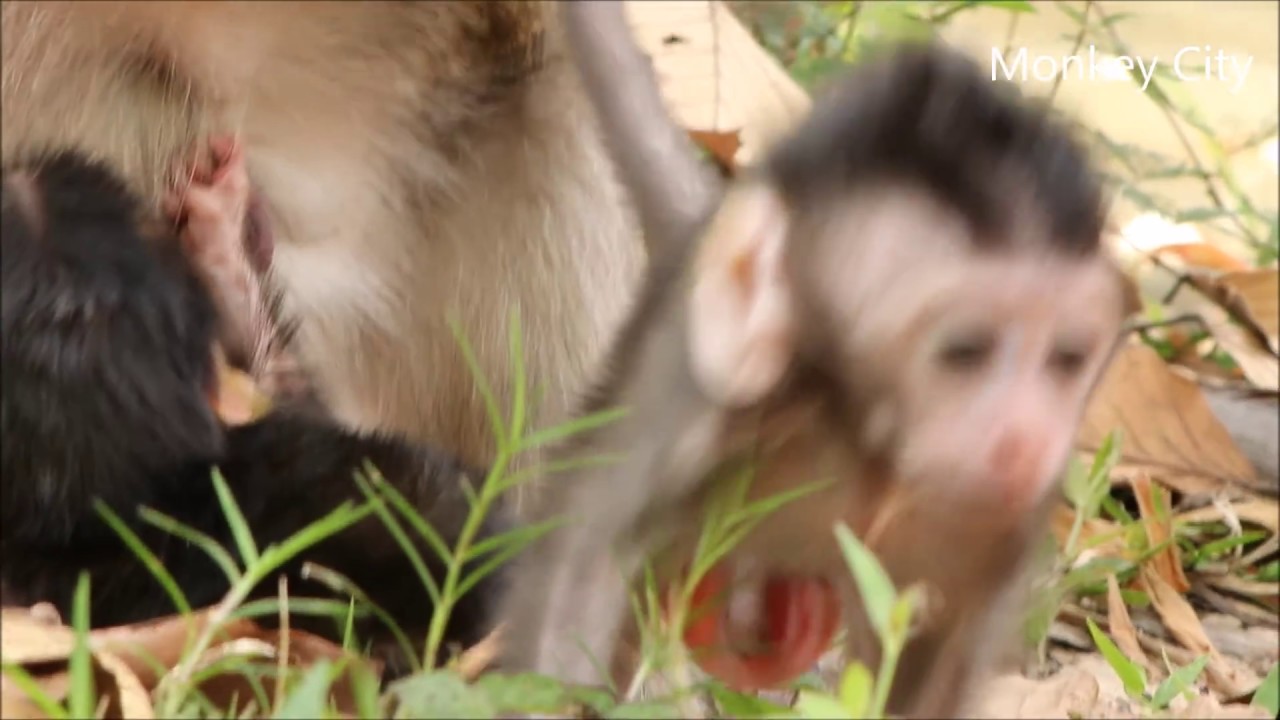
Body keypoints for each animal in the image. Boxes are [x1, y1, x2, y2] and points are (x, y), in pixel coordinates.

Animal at [499, 18, 1140, 717]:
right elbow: (588, 556)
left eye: (1067, 359)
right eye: (965, 351)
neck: (862, 441)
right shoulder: (700, 410)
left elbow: (943, 642)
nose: (1027, 439)